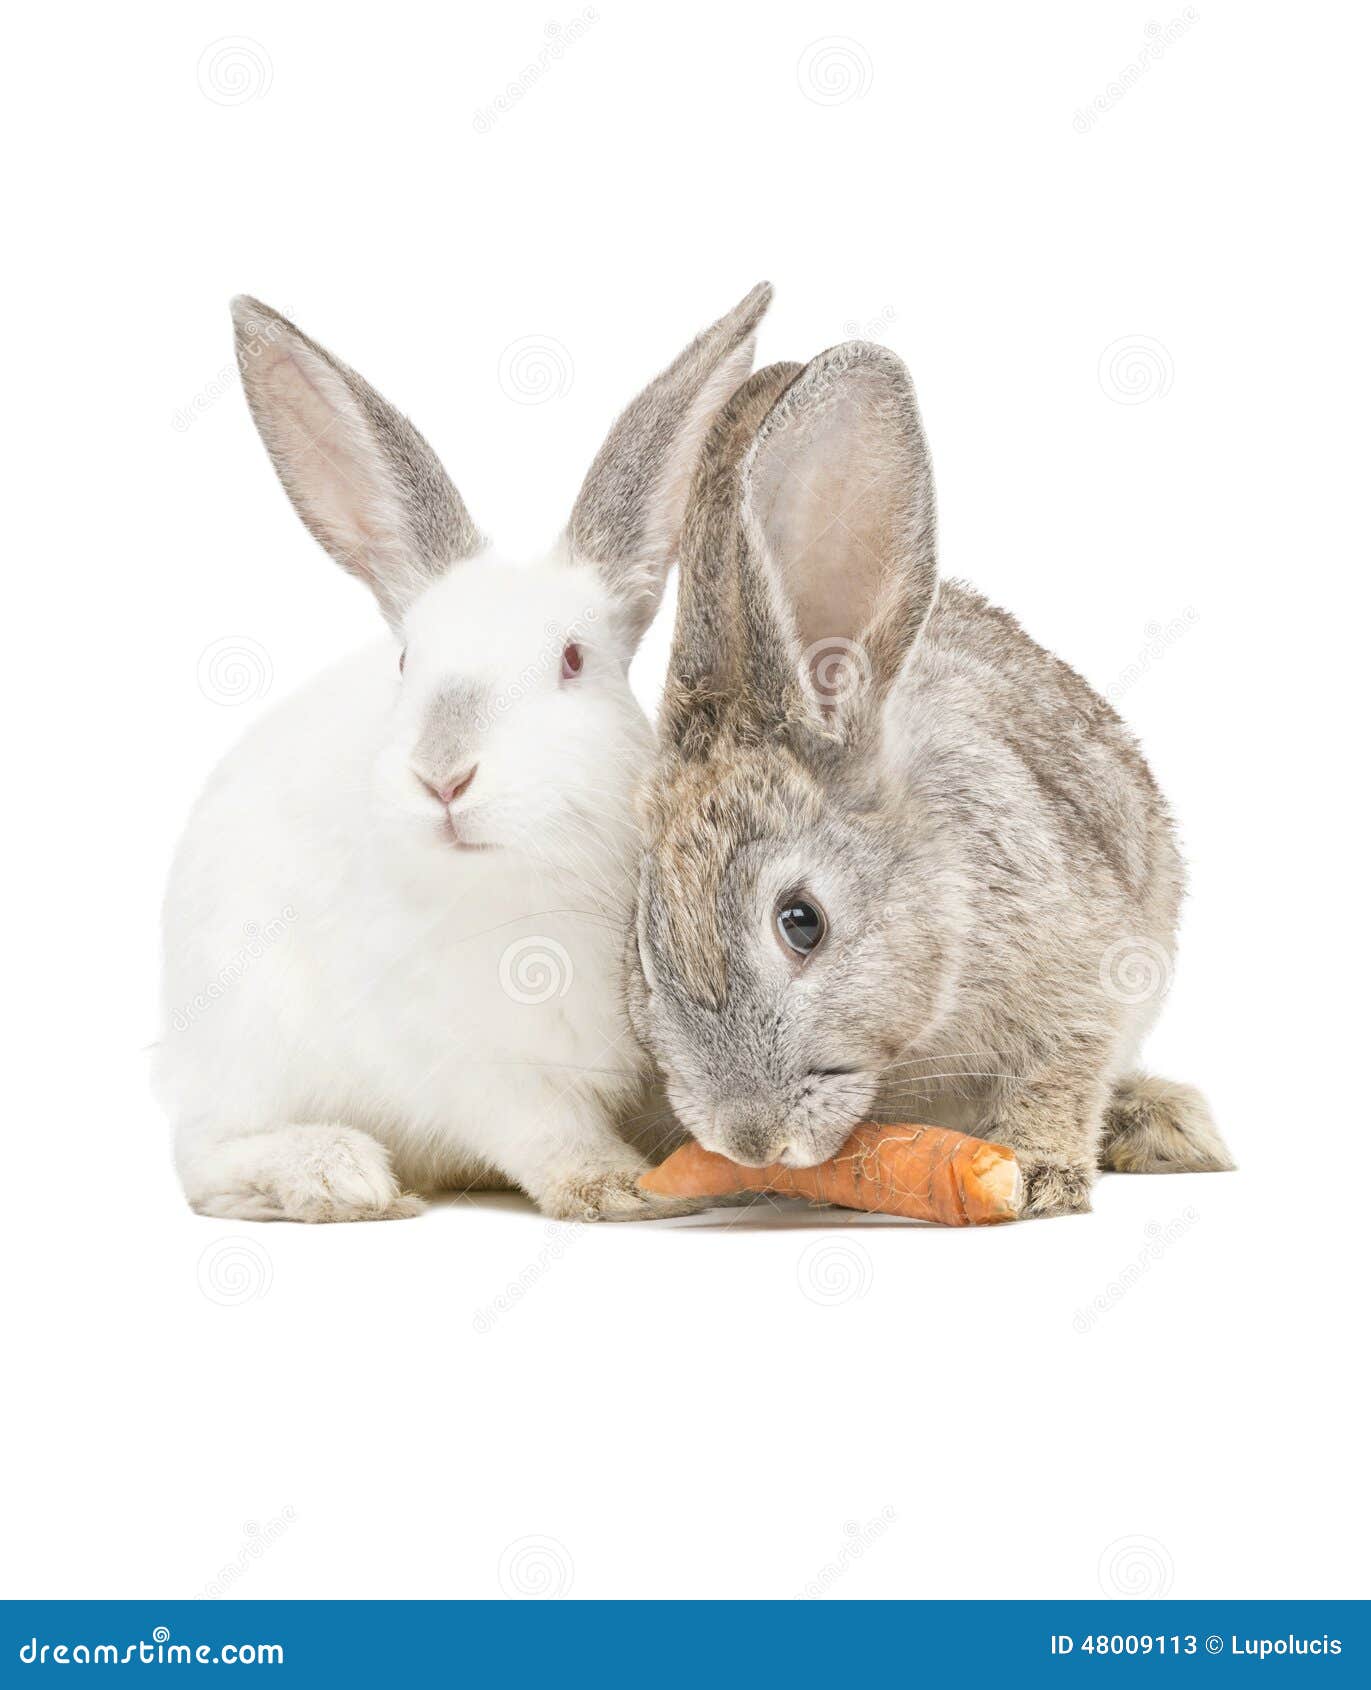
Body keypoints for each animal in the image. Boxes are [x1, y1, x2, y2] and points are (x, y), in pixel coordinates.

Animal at [155, 283, 771, 1222]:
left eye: (572, 659)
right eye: (408, 661)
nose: (443, 776)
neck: (518, 887)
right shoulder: (476, 1070)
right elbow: (544, 1131)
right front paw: (617, 1187)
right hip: (247, 1047)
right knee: (206, 1161)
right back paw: (334, 1175)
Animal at [627, 342, 1233, 1217]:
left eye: (802, 922)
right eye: (643, 951)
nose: (749, 1140)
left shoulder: (1086, 984)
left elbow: (1060, 1073)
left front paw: (1035, 1172)